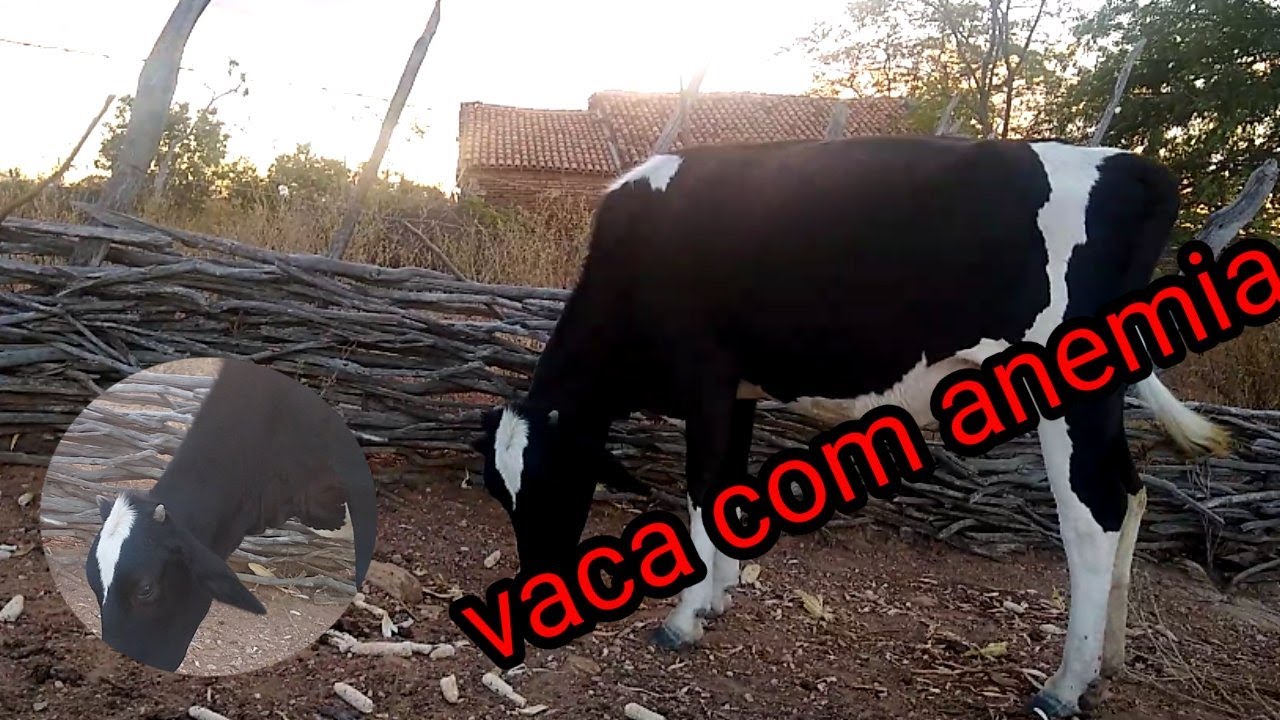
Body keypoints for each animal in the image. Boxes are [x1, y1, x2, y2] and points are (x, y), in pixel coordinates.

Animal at [468, 134, 1232, 718]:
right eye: (501, 492)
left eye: (553, 483)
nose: (537, 591)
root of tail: (1133, 166)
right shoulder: (740, 390)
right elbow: (729, 489)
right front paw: (719, 595)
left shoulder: (707, 380)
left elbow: (702, 491)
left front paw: (684, 617)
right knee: (1132, 493)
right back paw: (1110, 660)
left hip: (1068, 392)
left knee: (1092, 516)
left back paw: (1064, 685)